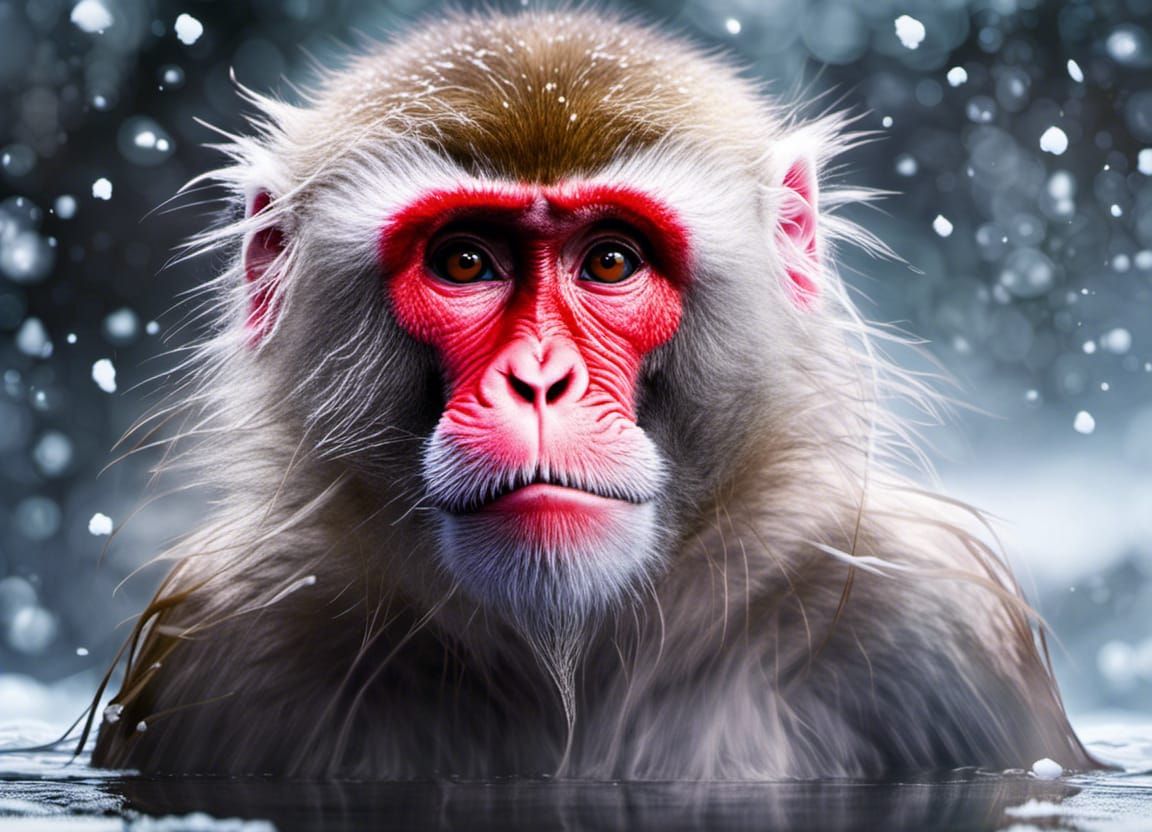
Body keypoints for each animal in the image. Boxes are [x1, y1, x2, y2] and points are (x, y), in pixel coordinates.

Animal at [89, 9, 1094, 779]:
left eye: (610, 260)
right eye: (466, 261)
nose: (540, 381)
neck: (572, 672)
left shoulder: (939, 629)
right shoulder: (218, 642)